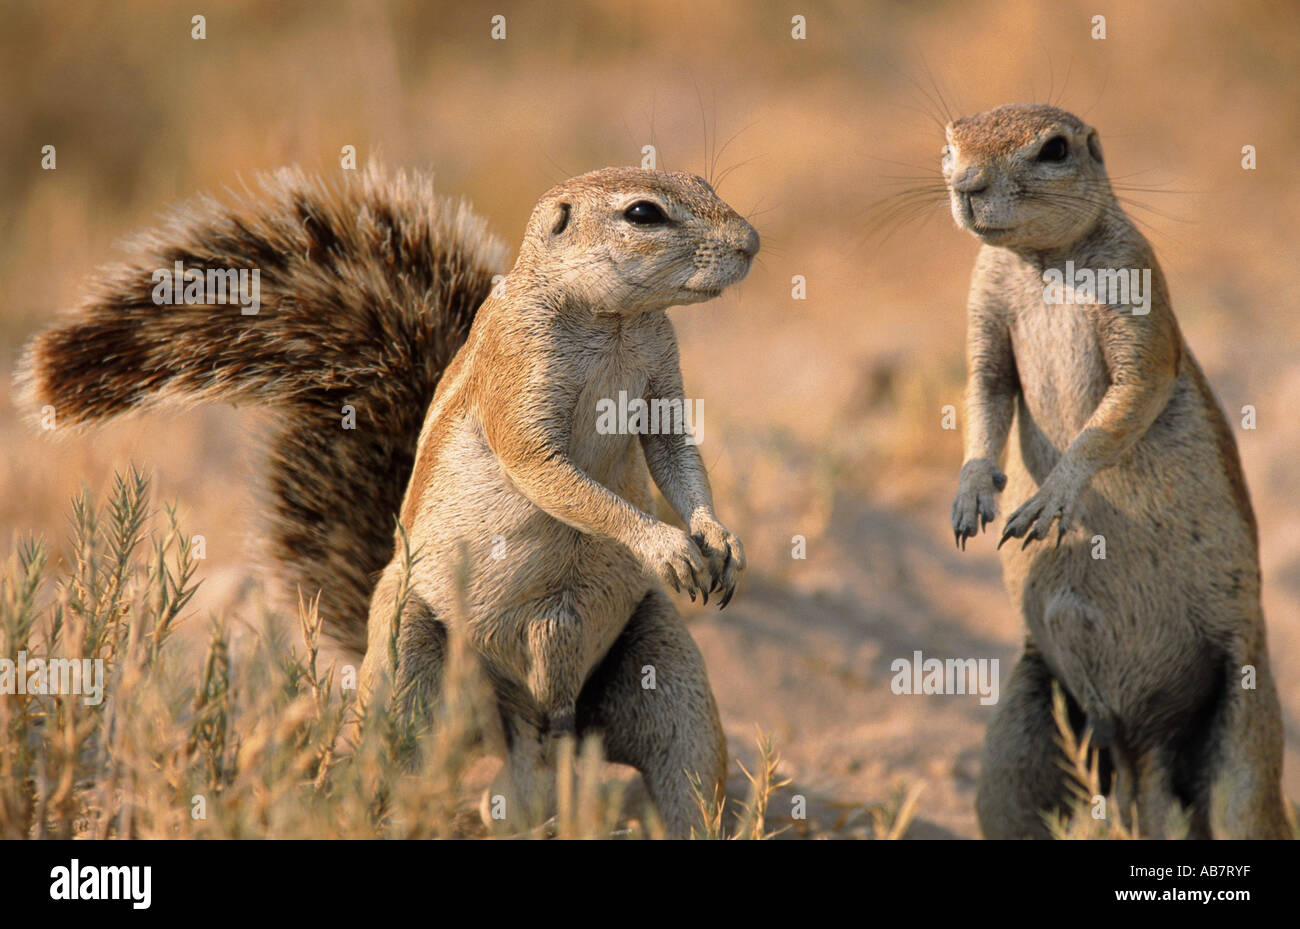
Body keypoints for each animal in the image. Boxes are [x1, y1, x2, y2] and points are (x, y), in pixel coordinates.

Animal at [18, 162, 758, 838]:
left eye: (703, 182)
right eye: (643, 213)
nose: (750, 242)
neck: (615, 323)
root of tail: (531, 732)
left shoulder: (661, 376)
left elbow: (676, 456)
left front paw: (716, 538)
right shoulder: (518, 383)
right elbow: (552, 475)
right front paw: (664, 543)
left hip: (668, 674)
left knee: (685, 777)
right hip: (411, 668)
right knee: (395, 766)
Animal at [944, 104, 1287, 838]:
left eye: (1053, 149)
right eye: (950, 140)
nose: (964, 184)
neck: (1043, 263)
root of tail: (1140, 744)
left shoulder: (1141, 300)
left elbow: (1122, 406)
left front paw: (1049, 500)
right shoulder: (983, 310)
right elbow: (984, 396)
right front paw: (971, 495)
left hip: (1244, 737)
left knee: (1244, 804)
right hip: (1016, 739)